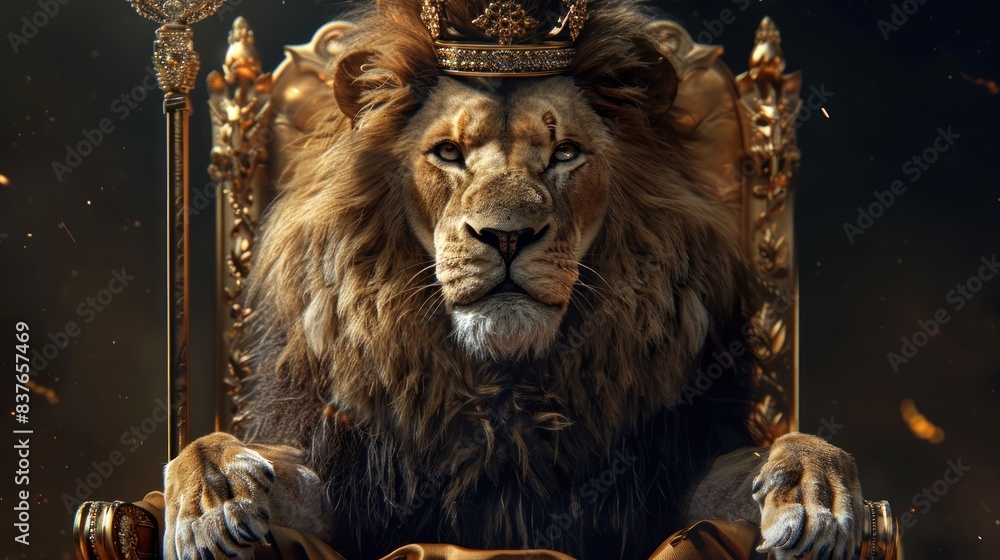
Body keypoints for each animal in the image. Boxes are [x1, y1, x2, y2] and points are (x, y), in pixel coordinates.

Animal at [163, 1, 864, 559]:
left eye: (564, 154)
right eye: (449, 153)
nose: (505, 236)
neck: (504, 387)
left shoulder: (678, 452)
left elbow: (768, 461)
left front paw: (813, 488)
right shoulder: (343, 461)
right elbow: (243, 462)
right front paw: (214, 485)